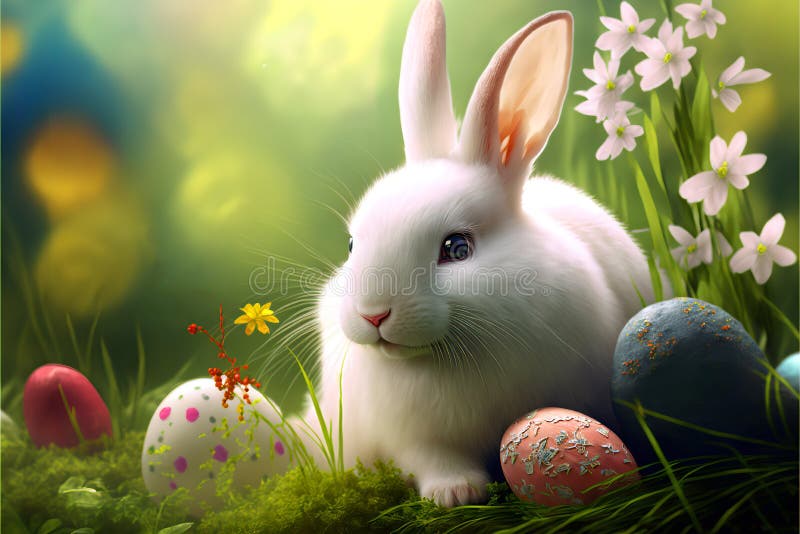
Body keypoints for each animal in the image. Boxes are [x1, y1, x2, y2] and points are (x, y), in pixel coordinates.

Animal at [291, 0, 659, 507]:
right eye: (351, 245)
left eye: (457, 248)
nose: (373, 314)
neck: (446, 356)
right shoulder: (416, 439)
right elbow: (435, 461)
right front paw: (456, 493)